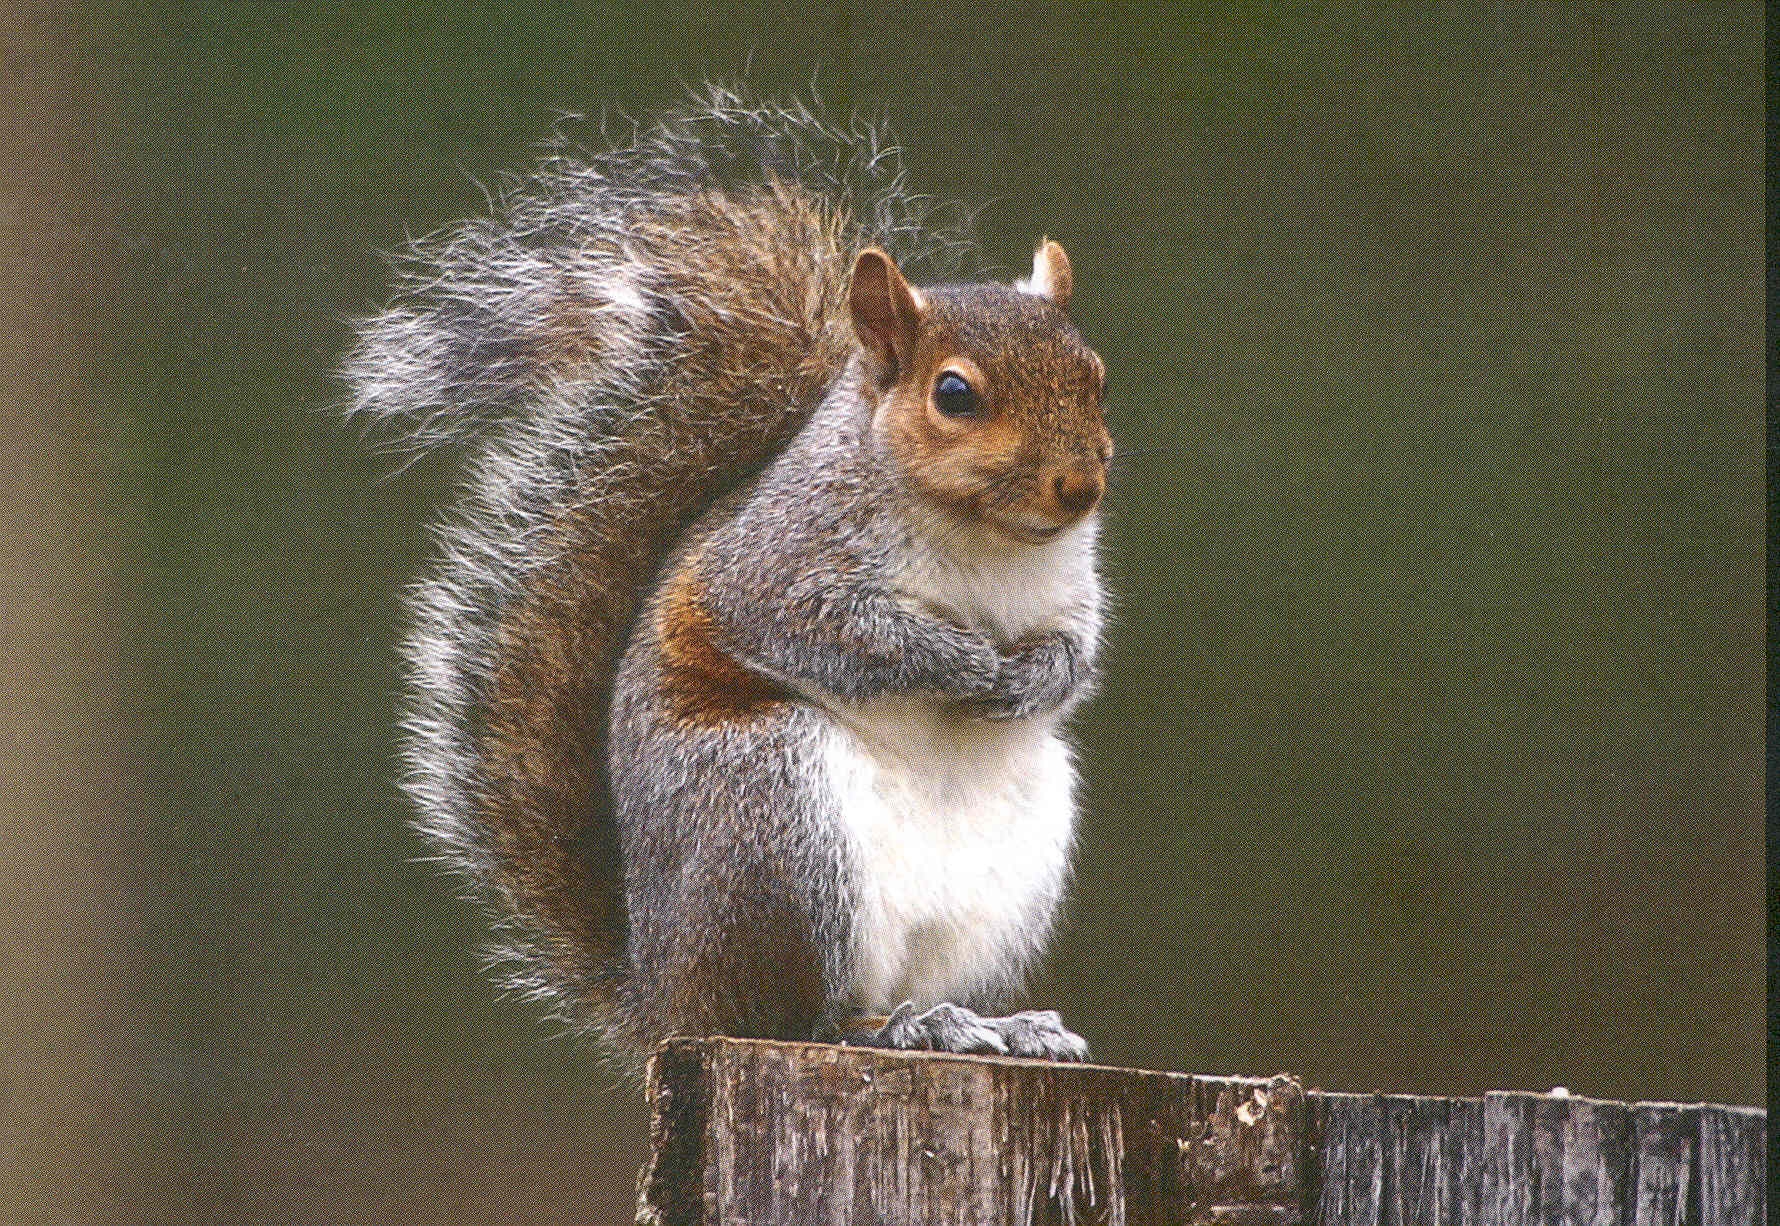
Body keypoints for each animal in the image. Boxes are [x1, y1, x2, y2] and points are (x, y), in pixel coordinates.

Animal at [344, 90, 1112, 1074]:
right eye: (954, 394)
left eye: (1095, 376)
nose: (1080, 485)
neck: (990, 540)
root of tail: (665, 999)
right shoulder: (777, 563)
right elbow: (821, 628)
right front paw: (960, 662)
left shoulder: (1071, 589)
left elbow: (1076, 649)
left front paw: (1038, 676)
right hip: (772, 822)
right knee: (795, 1015)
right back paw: (895, 1025)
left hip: (1004, 866)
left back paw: (991, 1024)